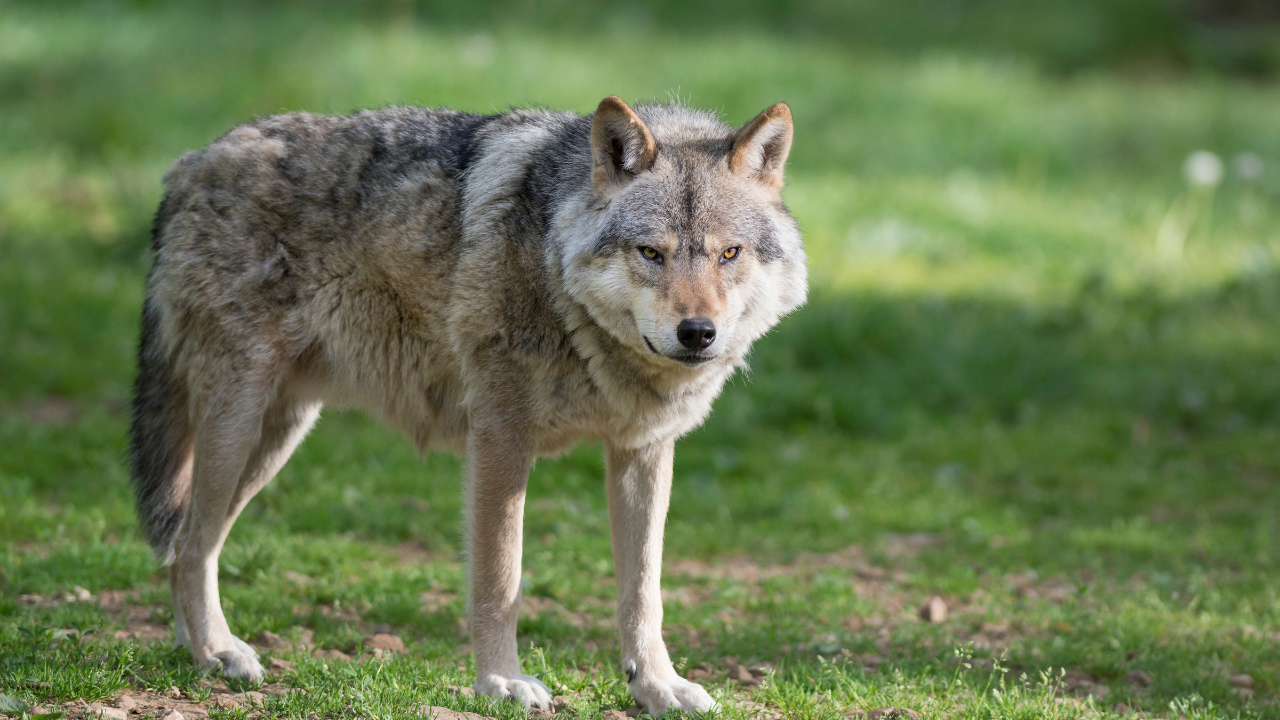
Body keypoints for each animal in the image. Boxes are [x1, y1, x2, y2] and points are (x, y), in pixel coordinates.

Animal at [129, 95, 806, 714]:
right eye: (651, 253)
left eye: (728, 254)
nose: (698, 333)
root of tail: (190, 163)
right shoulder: (501, 436)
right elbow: (500, 578)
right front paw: (501, 683)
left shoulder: (642, 450)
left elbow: (644, 591)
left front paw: (658, 687)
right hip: (239, 425)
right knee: (190, 544)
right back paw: (217, 651)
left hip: (277, 436)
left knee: (188, 543)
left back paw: (198, 651)